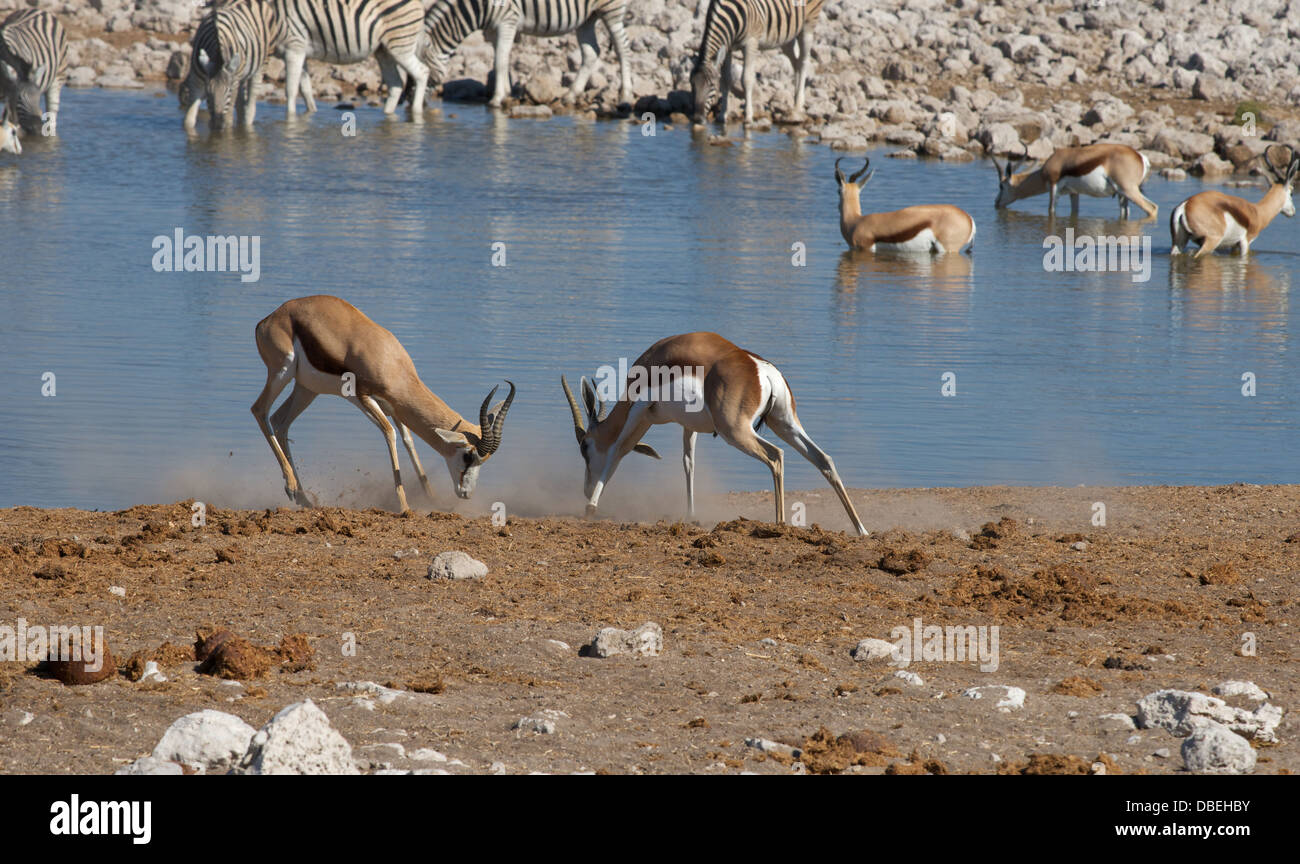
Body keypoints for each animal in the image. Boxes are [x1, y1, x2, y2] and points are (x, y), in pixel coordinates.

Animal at [252, 295, 515, 513]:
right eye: (468, 456)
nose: (466, 494)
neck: (390, 360)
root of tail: (267, 320)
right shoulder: (363, 397)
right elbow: (390, 433)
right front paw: (404, 506)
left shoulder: (394, 406)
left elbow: (408, 440)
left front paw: (431, 498)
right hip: (282, 372)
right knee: (260, 410)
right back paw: (291, 487)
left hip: (307, 389)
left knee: (280, 422)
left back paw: (303, 498)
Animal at [561, 333, 868, 536]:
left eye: (585, 447)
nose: (585, 487)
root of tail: (761, 369)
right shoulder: (689, 426)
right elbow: (688, 463)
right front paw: (691, 515)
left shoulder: (638, 409)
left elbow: (617, 451)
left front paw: (591, 506)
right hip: (784, 423)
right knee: (823, 459)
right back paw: (861, 529)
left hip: (736, 431)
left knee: (776, 455)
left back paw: (780, 524)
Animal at [992, 143, 1158, 219]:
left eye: (1001, 186)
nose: (996, 203)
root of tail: (1140, 157)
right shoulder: (1074, 193)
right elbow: (1074, 212)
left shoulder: (1053, 188)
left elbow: (1051, 210)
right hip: (1122, 194)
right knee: (1125, 213)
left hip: (1129, 190)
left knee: (1152, 208)